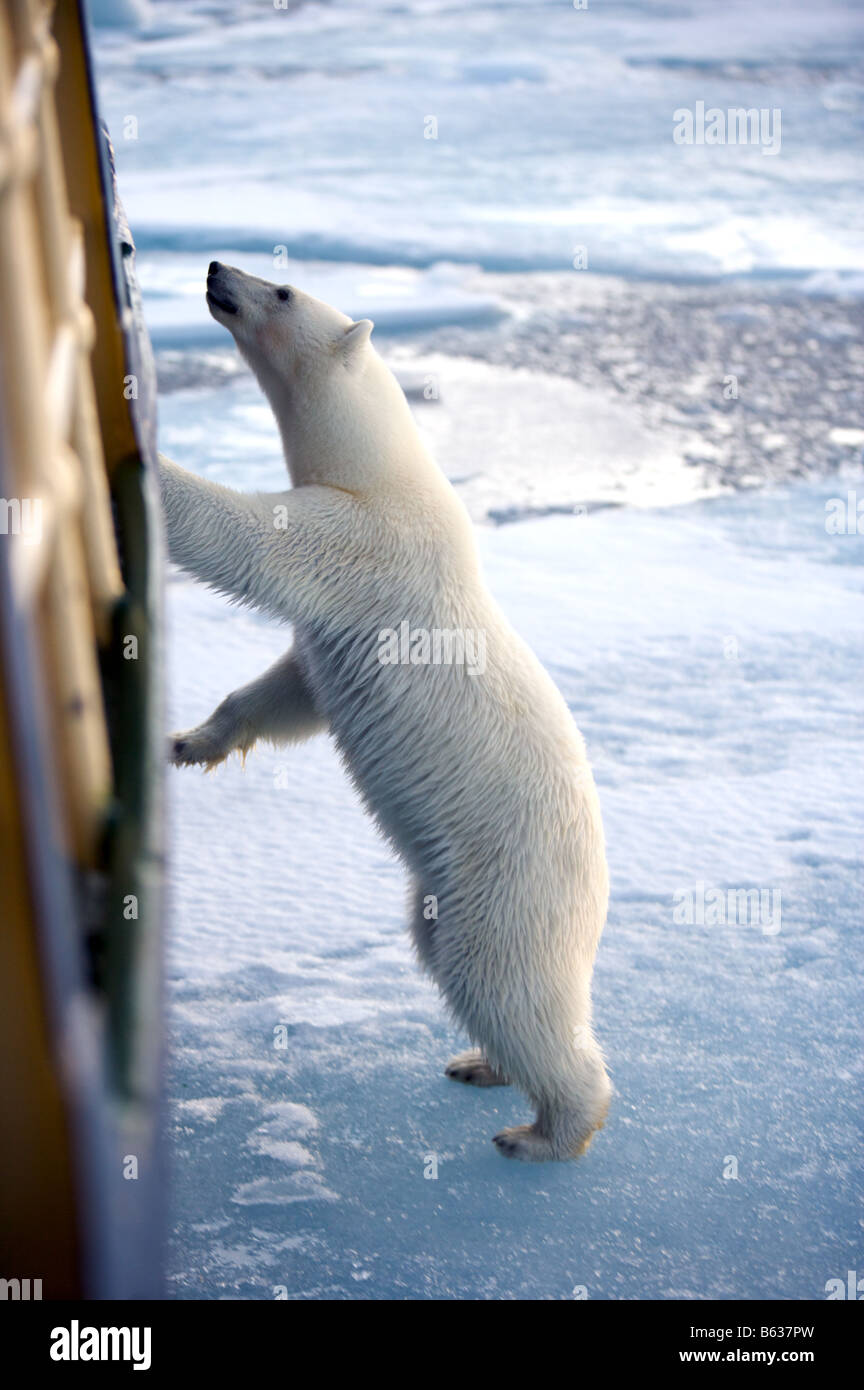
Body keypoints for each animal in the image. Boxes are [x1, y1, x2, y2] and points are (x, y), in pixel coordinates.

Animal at [158, 261, 611, 1161]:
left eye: (284, 289)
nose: (217, 269)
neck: (383, 470)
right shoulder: (340, 607)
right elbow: (291, 690)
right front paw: (193, 741)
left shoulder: (363, 541)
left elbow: (247, 539)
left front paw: (150, 463)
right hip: (448, 891)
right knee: (457, 969)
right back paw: (482, 1065)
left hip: (508, 883)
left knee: (502, 983)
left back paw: (542, 1131)